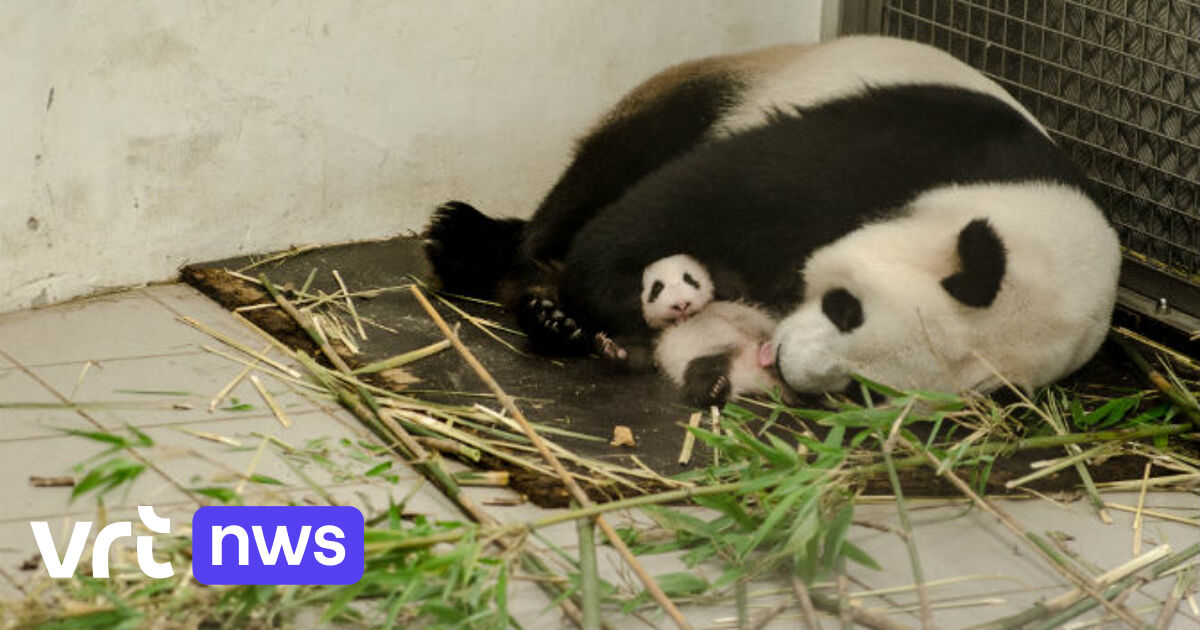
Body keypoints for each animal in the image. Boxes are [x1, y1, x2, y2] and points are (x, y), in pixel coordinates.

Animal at [423, 36, 1121, 396]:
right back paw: (508, 272)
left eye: (870, 388)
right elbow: (733, 188)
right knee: (593, 183)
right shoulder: (917, 145)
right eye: (847, 308)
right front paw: (611, 288)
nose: (785, 364)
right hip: (709, 89)